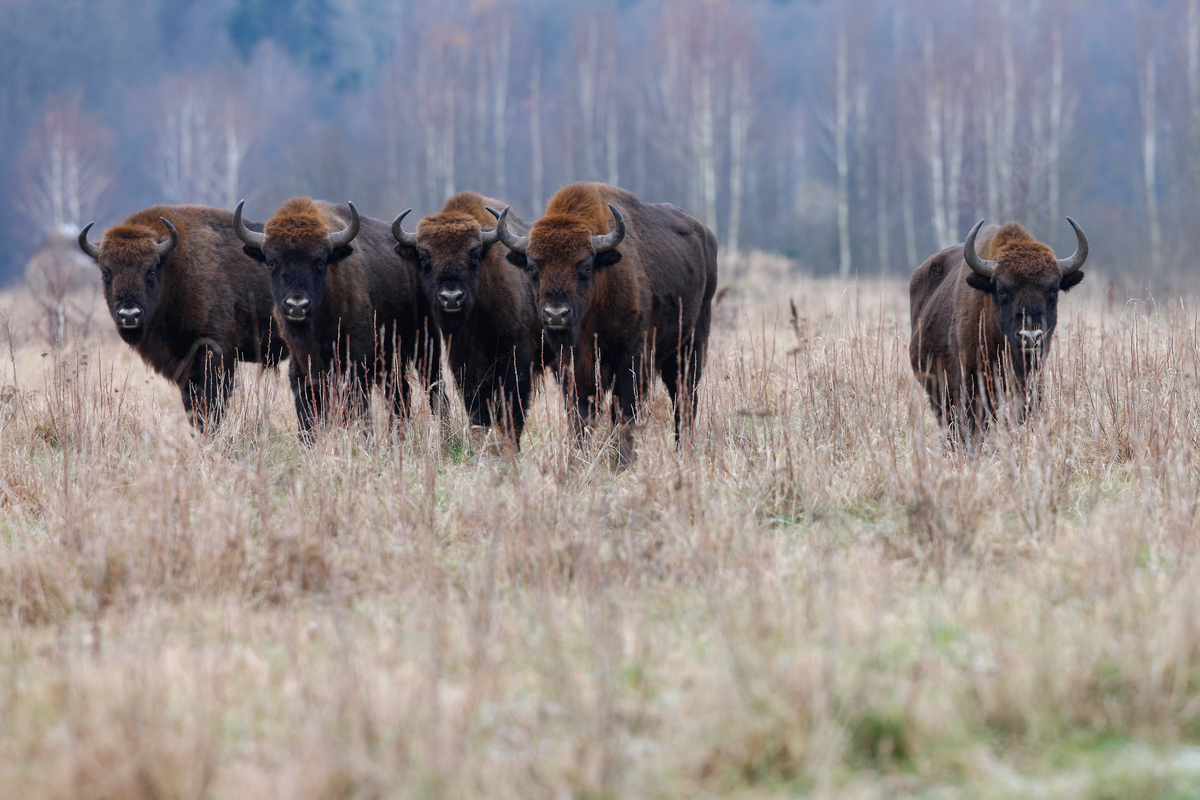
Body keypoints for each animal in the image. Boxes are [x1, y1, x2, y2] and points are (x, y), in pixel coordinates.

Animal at [78, 205, 287, 431]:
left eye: (151, 271)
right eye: (106, 273)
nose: (129, 315)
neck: (174, 267)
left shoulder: (216, 353)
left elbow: (213, 405)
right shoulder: (185, 367)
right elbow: (193, 410)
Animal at [234, 197, 439, 435]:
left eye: (321, 262)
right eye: (272, 262)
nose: (297, 306)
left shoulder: (356, 363)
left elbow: (356, 409)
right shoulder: (302, 368)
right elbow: (308, 414)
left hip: (424, 344)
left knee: (433, 387)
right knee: (400, 394)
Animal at [392, 191, 541, 448]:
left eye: (474, 255)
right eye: (424, 257)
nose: (451, 298)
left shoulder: (516, 357)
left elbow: (512, 407)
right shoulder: (463, 360)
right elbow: (477, 409)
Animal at [495, 182, 718, 464]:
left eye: (586, 267)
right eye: (533, 268)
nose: (556, 314)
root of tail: (705, 235)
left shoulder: (632, 359)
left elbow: (625, 412)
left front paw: (624, 462)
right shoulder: (573, 367)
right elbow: (581, 414)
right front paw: (580, 459)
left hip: (691, 346)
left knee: (685, 398)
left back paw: (684, 452)